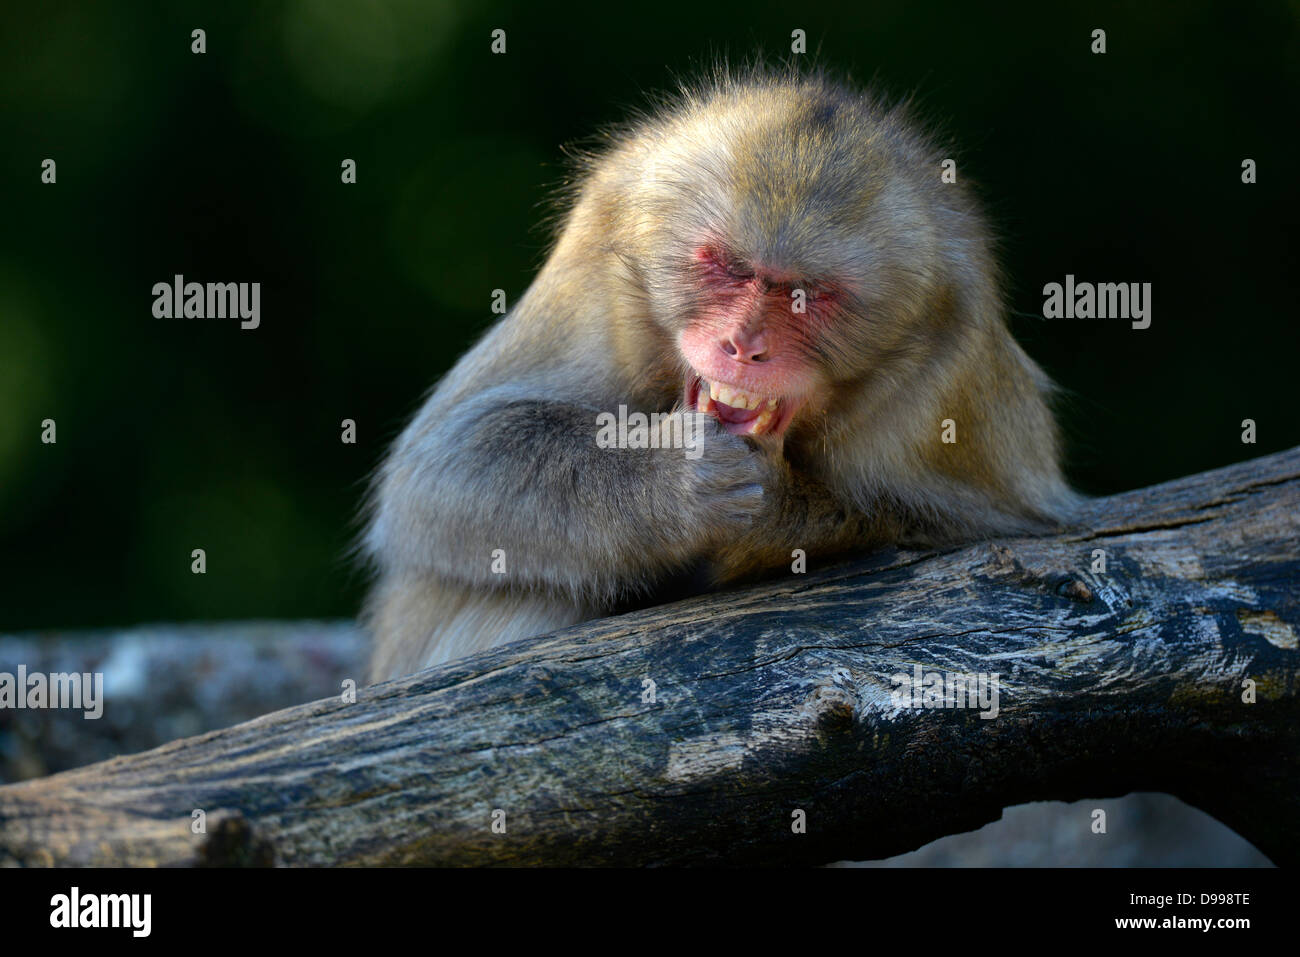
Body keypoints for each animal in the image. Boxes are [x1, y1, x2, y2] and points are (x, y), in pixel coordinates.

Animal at [361, 66, 1076, 682]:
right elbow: (441, 469)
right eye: (728, 267)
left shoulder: (945, 388)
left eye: (808, 296)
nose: (742, 345)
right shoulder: (597, 281)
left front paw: (778, 513)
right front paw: (670, 483)